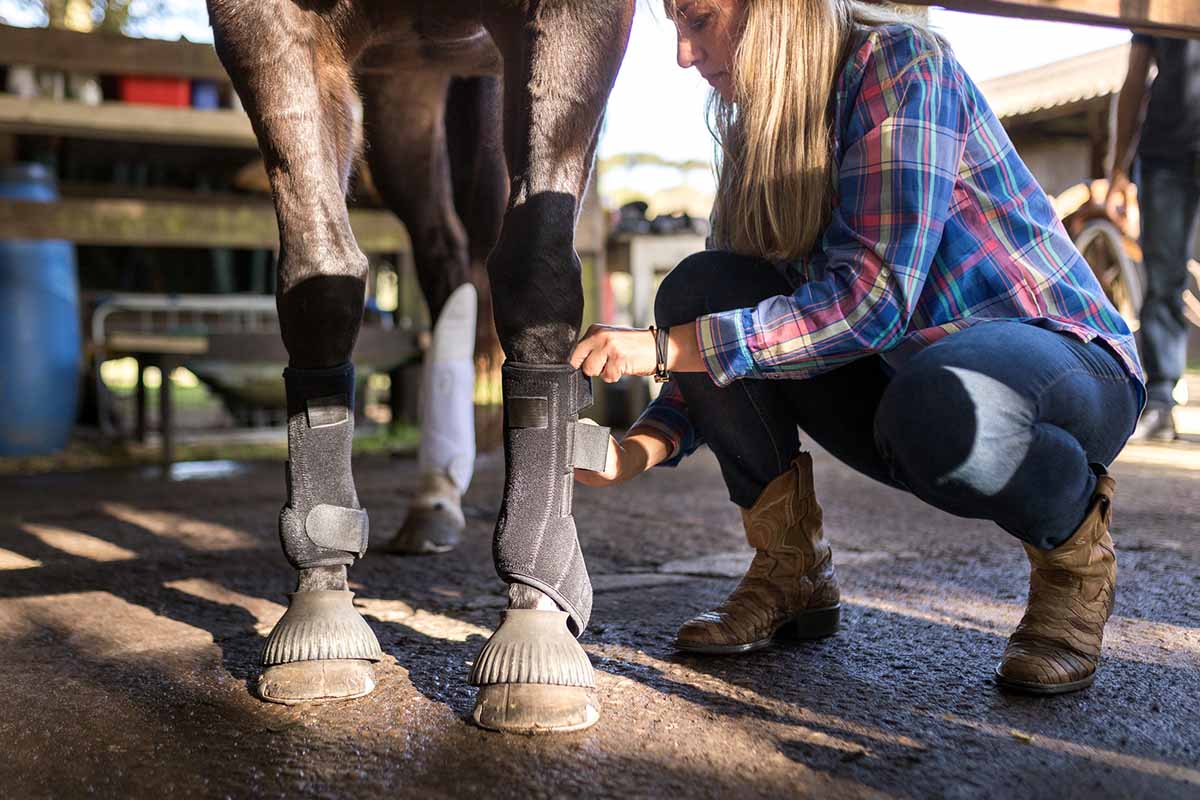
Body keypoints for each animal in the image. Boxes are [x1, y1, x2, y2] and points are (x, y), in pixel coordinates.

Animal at [206, 0, 636, 733]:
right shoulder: (263, 26)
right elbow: (319, 277)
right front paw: (319, 614)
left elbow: (536, 266)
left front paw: (535, 631)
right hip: (405, 93)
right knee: (444, 252)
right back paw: (435, 492)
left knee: (481, 243)